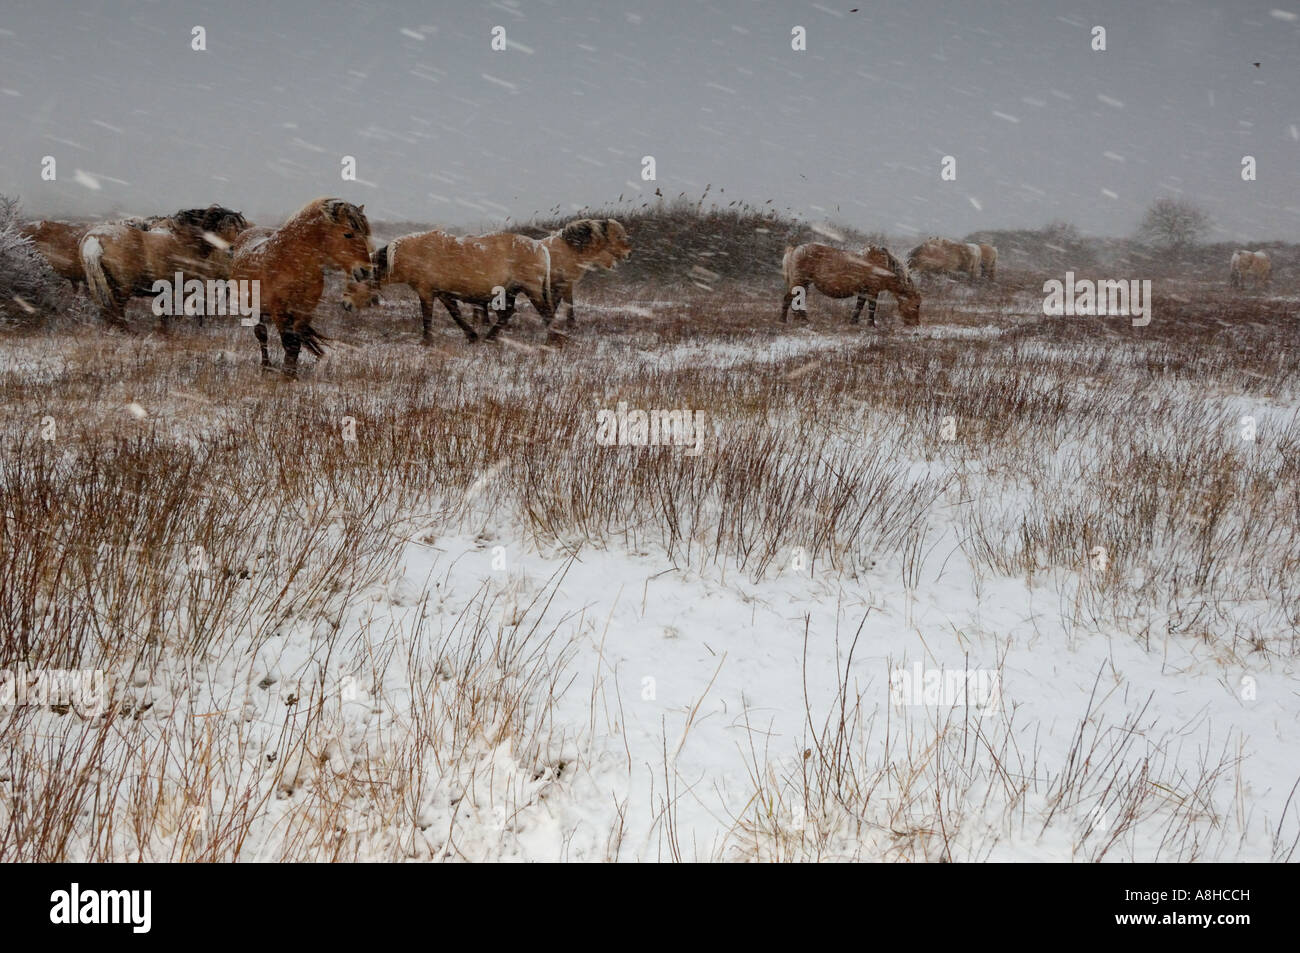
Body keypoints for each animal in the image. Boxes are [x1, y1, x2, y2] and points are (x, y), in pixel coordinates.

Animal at [79, 206, 249, 328]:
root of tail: (93, 241)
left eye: (238, 229)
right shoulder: (181, 290)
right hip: (122, 289)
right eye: (223, 227)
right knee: (117, 311)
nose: (233, 249)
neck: (185, 242)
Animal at [229, 197, 373, 376]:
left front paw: (291, 373)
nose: (366, 271)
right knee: (261, 335)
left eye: (365, 235)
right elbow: (289, 343)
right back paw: (266, 366)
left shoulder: (305, 310)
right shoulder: (279, 311)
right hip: (254, 309)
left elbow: (296, 343)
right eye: (348, 234)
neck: (292, 262)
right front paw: (288, 375)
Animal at [340, 228, 555, 342]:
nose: (345, 305)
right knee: (508, 313)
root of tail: (541, 247)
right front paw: (472, 335)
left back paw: (553, 340)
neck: (416, 254)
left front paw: (426, 341)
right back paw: (490, 337)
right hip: (510, 291)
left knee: (546, 313)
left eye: (354, 284)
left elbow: (427, 316)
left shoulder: (426, 292)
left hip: (531, 289)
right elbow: (456, 314)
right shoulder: (443, 293)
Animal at [780, 243, 921, 327]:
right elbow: (871, 307)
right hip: (799, 281)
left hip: (804, 284)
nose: (916, 324)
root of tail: (794, 249)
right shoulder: (873, 290)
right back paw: (783, 320)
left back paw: (804, 320)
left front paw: (853, 322)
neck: (884, 267)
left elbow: (859, 306)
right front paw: (871, 325)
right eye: (917, 305)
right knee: (788, 299)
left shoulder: (864, 290)